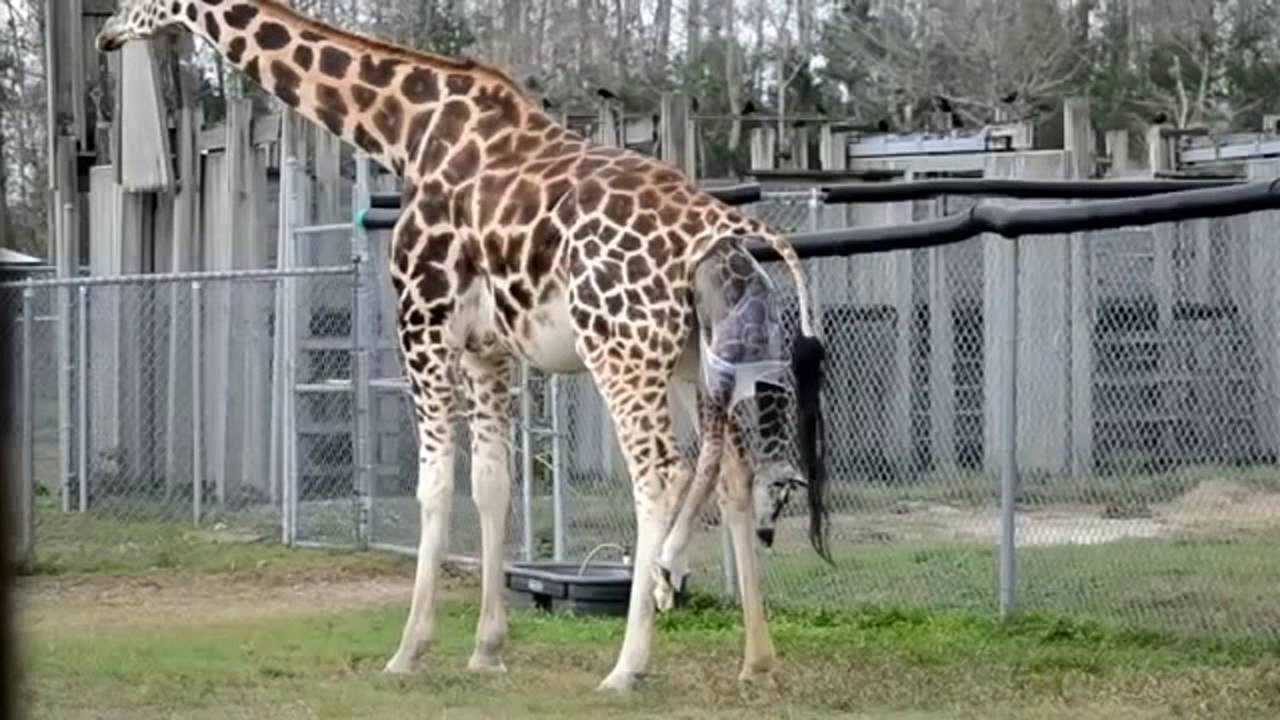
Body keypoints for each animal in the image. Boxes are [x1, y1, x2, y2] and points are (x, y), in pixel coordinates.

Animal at [96, 0, 831, 691]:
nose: (106, 35)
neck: (405, 131)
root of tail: (725, 233)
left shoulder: (424, 322)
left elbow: (433, 486)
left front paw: (408, 650)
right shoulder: (488, 349)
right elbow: (491, 484)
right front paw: (487, 649)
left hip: (620, 350)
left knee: (660, 474)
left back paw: (628, 663)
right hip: (688, 361)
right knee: (732, 472)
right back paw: (755, 658)